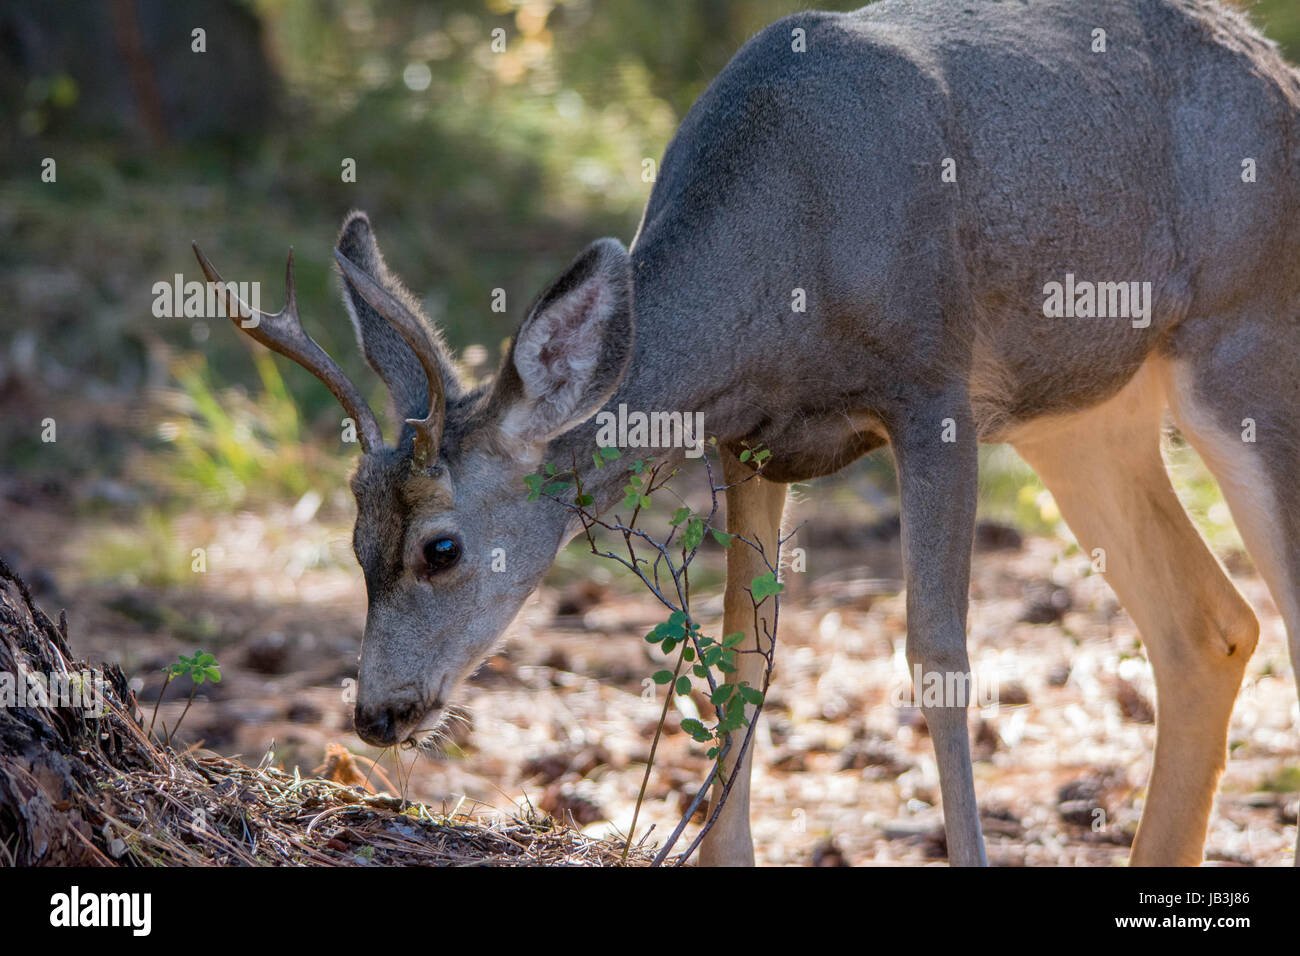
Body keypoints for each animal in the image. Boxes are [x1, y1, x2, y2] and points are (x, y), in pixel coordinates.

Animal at [193, 0, 1300, 866]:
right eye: (354, 544)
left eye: (440, 548)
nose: (376, 712)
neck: (785, 259)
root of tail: (1274, 66)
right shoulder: (750, 442)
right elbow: (736, 662)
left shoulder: (933, 386)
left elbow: (937, 655)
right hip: (1081, 414)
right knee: (1209, 624)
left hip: (1243, 332)